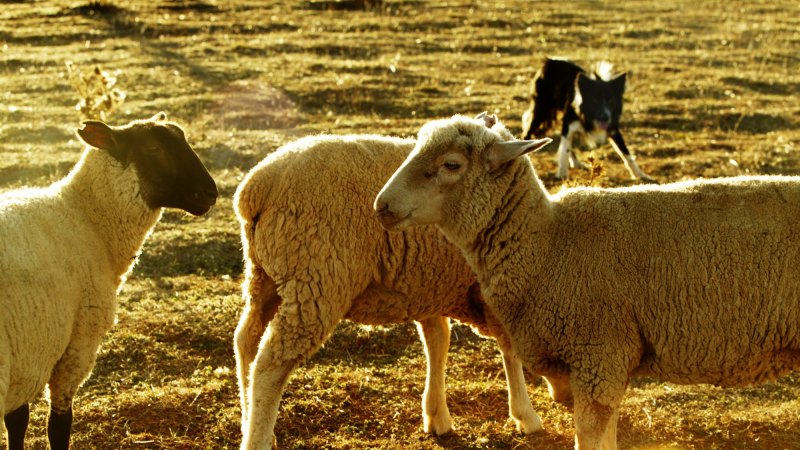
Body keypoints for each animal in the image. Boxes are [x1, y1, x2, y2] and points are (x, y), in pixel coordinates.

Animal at [0, 112, 217, 450]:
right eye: (153, 147)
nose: (210, 193)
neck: (88, 218)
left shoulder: (29, 352)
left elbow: (17, 420)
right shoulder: (77, 341)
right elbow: (59, 424)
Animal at [233, 118, 569, 450]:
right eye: (451, 164)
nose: (564, 397)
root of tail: (257, 186)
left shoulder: (428, 283)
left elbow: (438, 340)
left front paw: (436, 415)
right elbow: (509, 349)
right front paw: (526, 415)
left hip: (263, 276)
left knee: (246, 340)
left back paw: (252, 422)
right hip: (316, 282)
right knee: (270, 364)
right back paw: (257, 438)